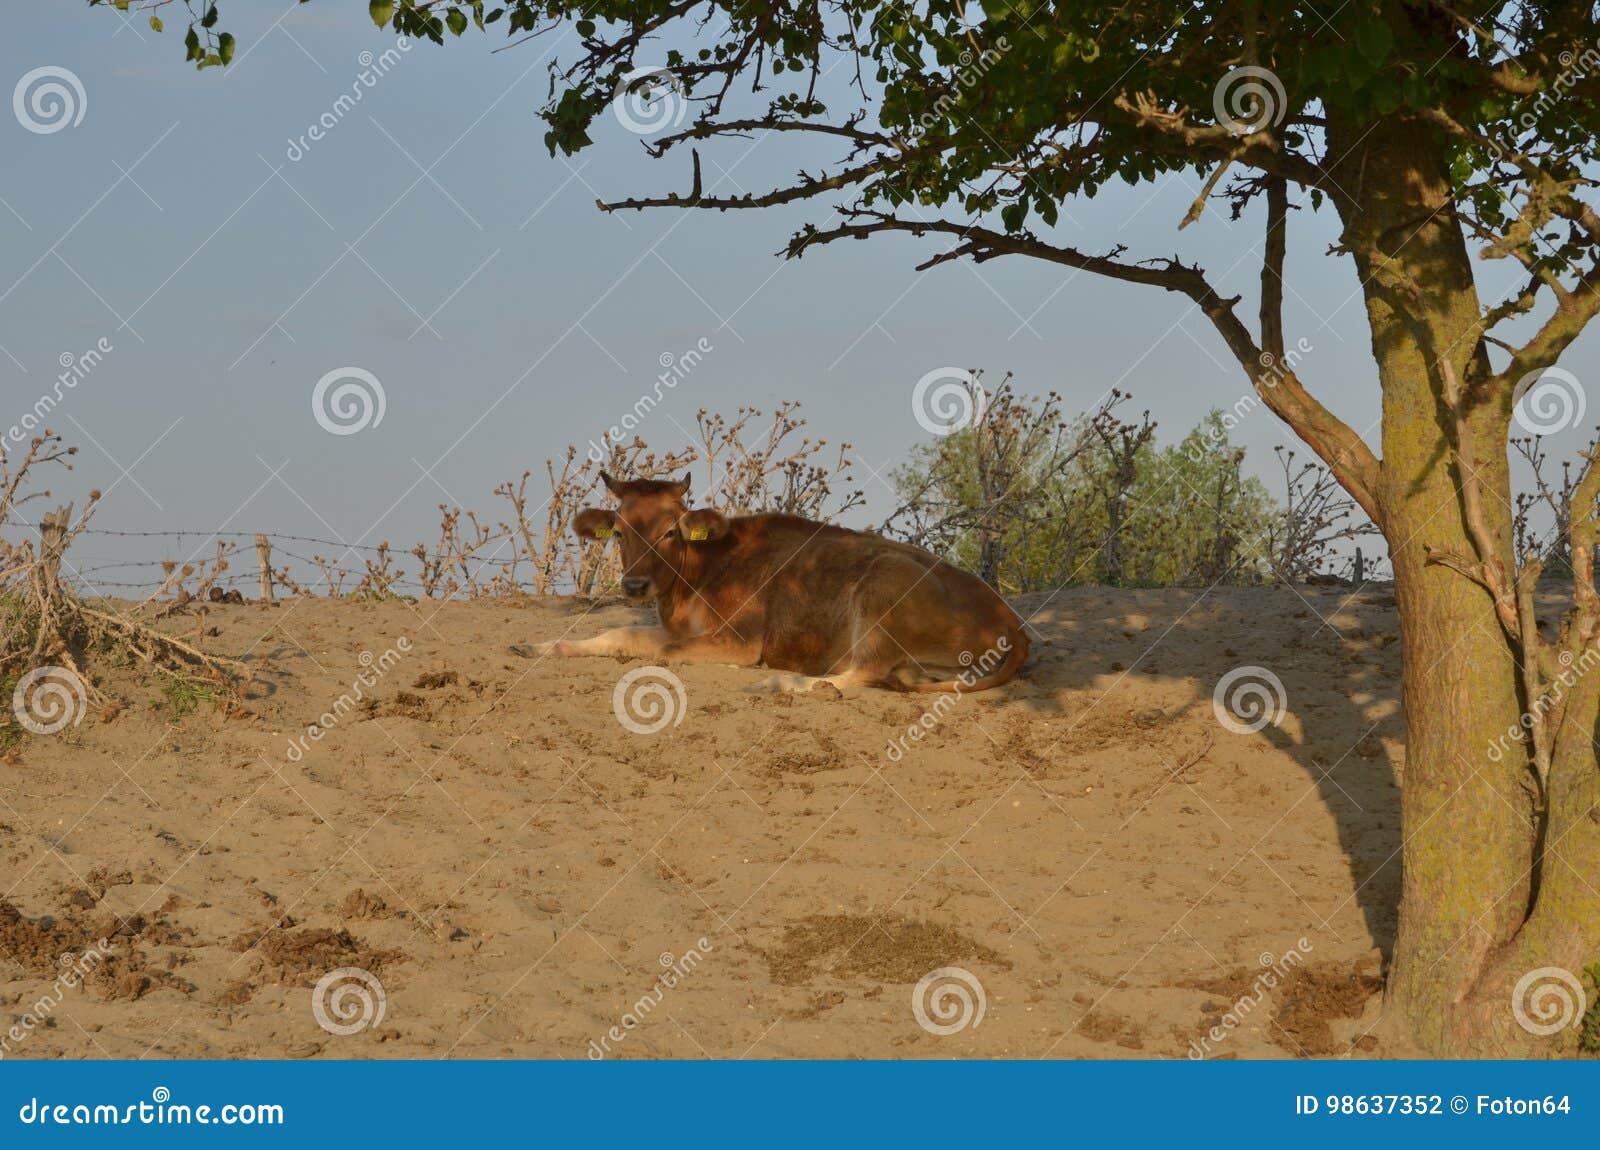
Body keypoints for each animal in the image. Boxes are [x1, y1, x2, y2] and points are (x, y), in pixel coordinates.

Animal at [523, 471, 1030, 692]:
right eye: (620, 533)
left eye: (670, 530)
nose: (633, 586)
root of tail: (1012, 620)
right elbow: (620, 633)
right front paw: (542, 646)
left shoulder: (740, 638)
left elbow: (662, 652)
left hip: (883, 586)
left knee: (858, 673)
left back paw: (783, 682)